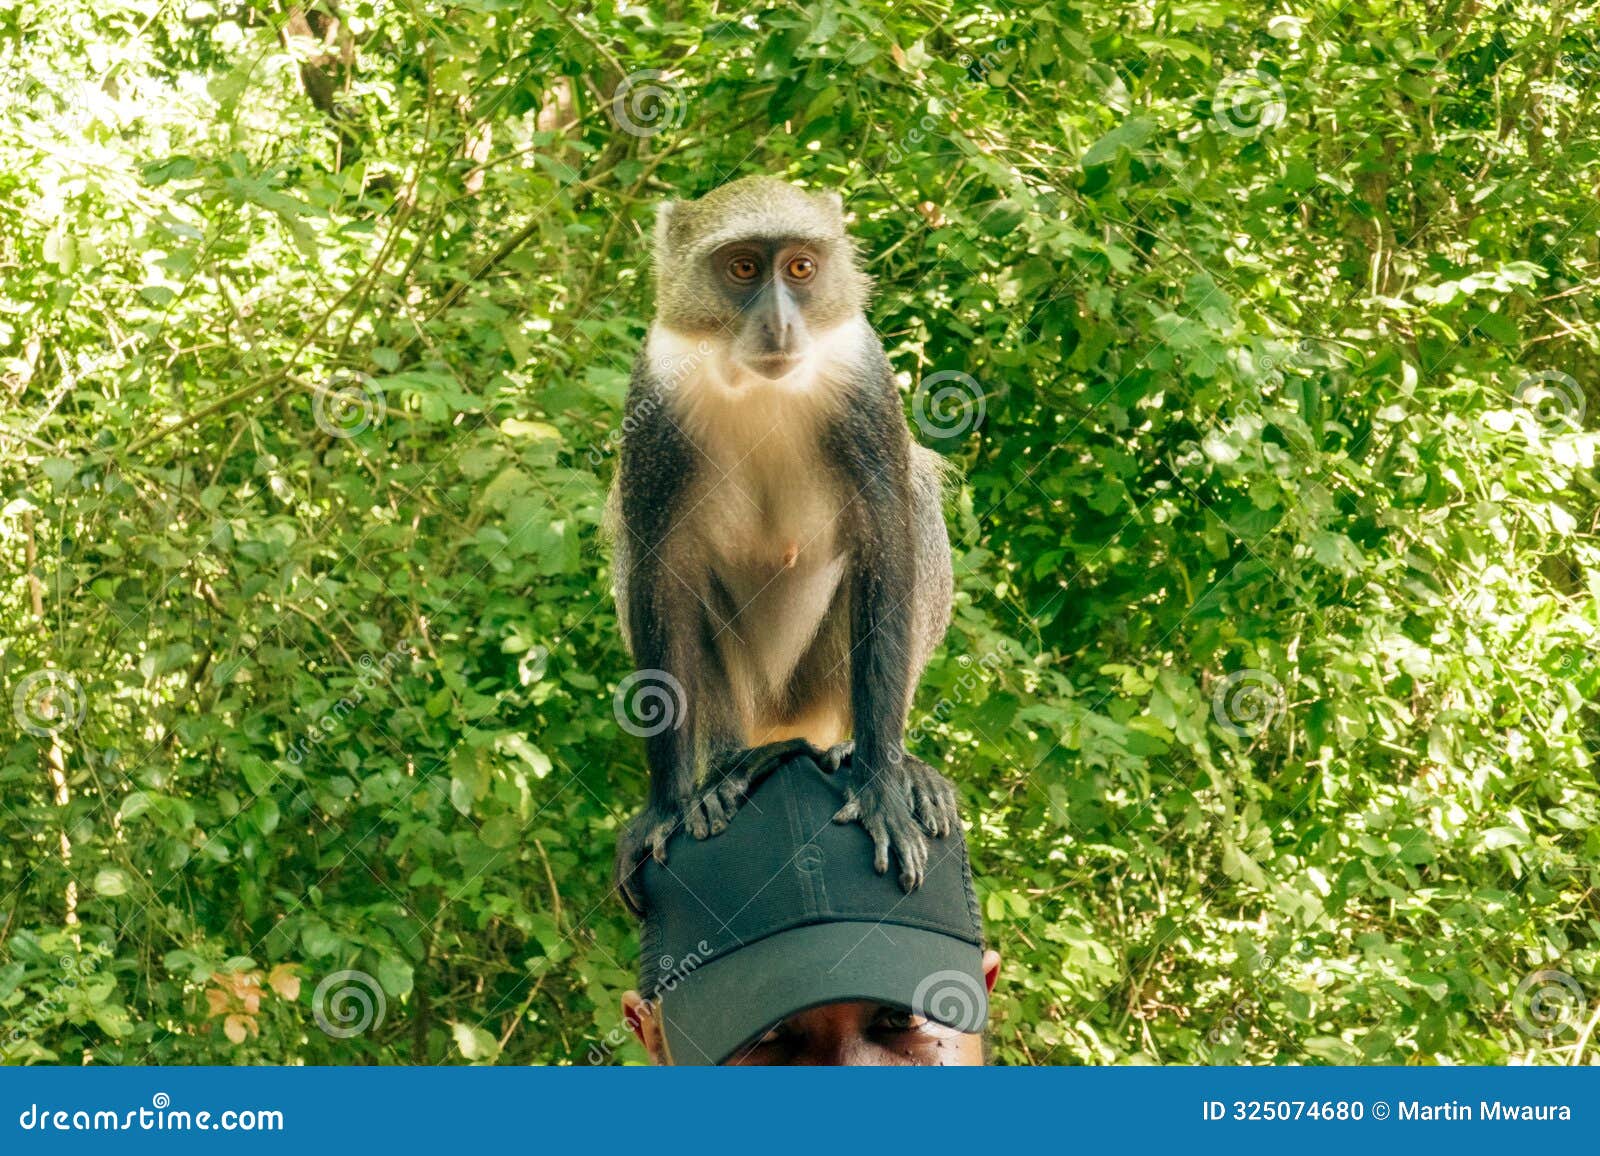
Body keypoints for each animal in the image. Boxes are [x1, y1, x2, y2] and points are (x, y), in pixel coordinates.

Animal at [607, 176, 958, 913]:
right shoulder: (653, 400)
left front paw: (882, 791)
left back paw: (891, 763)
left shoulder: (865, 384)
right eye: (743, 267)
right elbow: (656, 568)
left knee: (918, 498)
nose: (779, 323)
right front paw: (666, 807)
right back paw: (727, 770)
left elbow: (890, 542)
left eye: (800, 268)